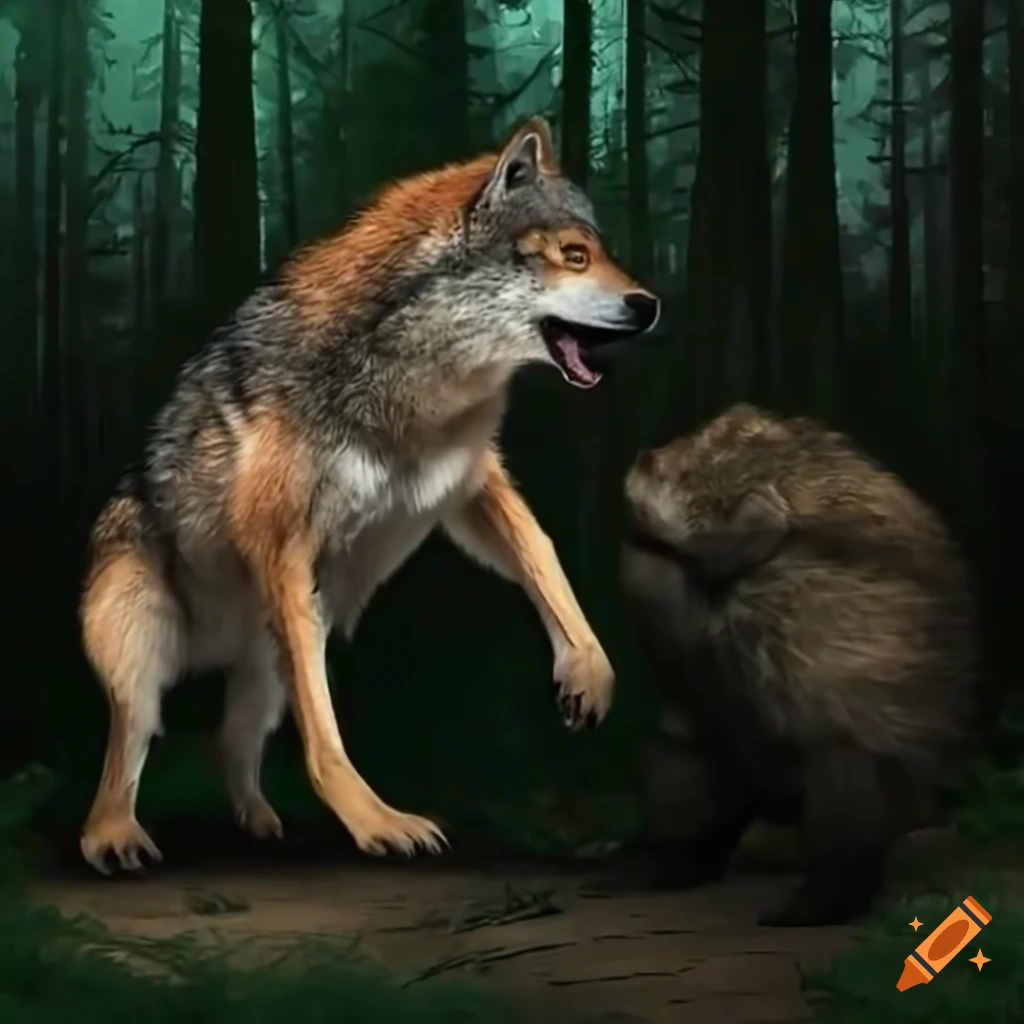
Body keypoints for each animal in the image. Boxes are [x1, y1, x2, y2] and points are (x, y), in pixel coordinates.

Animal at [79, 117, 660, 874]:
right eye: (574, 255)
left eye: (599, 253)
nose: (650, 305)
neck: (421, 388)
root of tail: (215, 643)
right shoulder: (282, 543)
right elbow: (325, 735)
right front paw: (377, 822)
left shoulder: (467, 482)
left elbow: (542, 554)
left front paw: (587, 673)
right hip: (148, 641)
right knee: (132, 741)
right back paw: (114, 837)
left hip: (273, 657)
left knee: (230, 739)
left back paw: (258, 822)